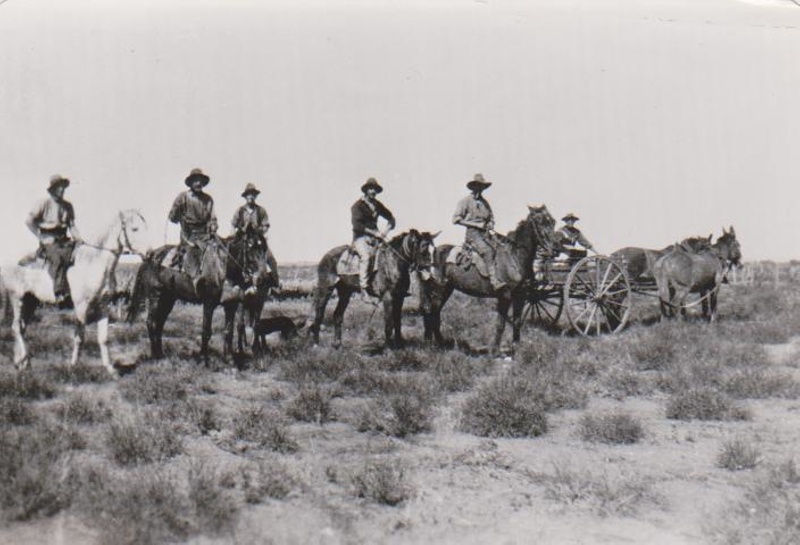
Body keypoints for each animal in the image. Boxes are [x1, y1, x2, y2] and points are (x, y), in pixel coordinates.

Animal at [1, 210, 150, 376]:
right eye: (135, 229)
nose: (150, 253)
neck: (94, 262)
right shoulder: (81, 306)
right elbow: (79, 337)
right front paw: (73, 366)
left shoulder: (103, 306)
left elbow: (103, 338)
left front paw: (110, 369)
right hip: (18, 298)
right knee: (16, 327)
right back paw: (25, 360)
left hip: (31, 300)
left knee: (22, 327)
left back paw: (21, 363)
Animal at [126, 227, 271, 363]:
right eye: (250, 246)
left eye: (264, 248)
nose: (263, 278)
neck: (222, 266)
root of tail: (149, 257)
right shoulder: (209, 303)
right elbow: (206, 331)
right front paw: (203, 358)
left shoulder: (231, 305)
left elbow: (228, 331)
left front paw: (229, 358)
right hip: (155, 296)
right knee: (151, 322)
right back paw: (155, 355)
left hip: (168, 299)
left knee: (159, 323)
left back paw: (160, 353)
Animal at [419, 205, 556, 355]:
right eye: (539, 221)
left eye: (552, 221)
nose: (554, 249)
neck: (514, 257)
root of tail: (432, 254)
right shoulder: (505, 296)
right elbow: (500, 323)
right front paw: (494, 350)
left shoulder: (520, 296)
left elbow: (517, 321)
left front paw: (516, 347)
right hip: (439, 290)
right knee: (432, 312)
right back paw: (435, 344)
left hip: (446, 289)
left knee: (434, 312)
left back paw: (438, 342)